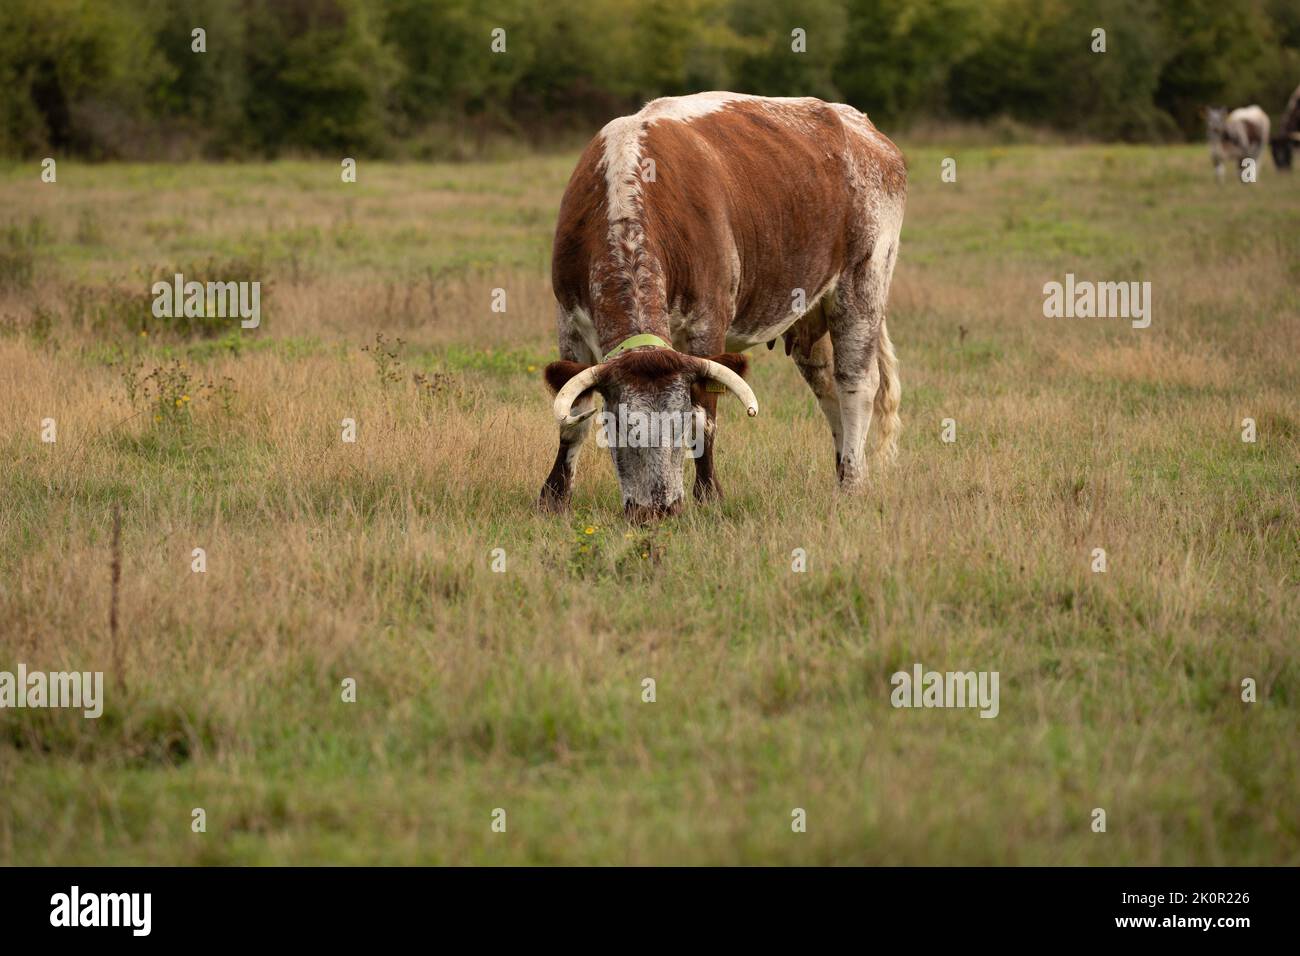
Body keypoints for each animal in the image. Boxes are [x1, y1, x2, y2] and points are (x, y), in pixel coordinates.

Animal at [538, 92, 907, 521]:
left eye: (680, 427)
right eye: (618, 427)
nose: (658, 510)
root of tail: (863, 127)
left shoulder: (707, 325)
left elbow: (707, 418)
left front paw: (708, 494)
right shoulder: (568, 320)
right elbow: (573, 419)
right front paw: (553, 497)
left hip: (863, 285)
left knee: (856, 386)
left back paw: (852, 483)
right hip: (810, 316)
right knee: (827, 386)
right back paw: (841, 474)